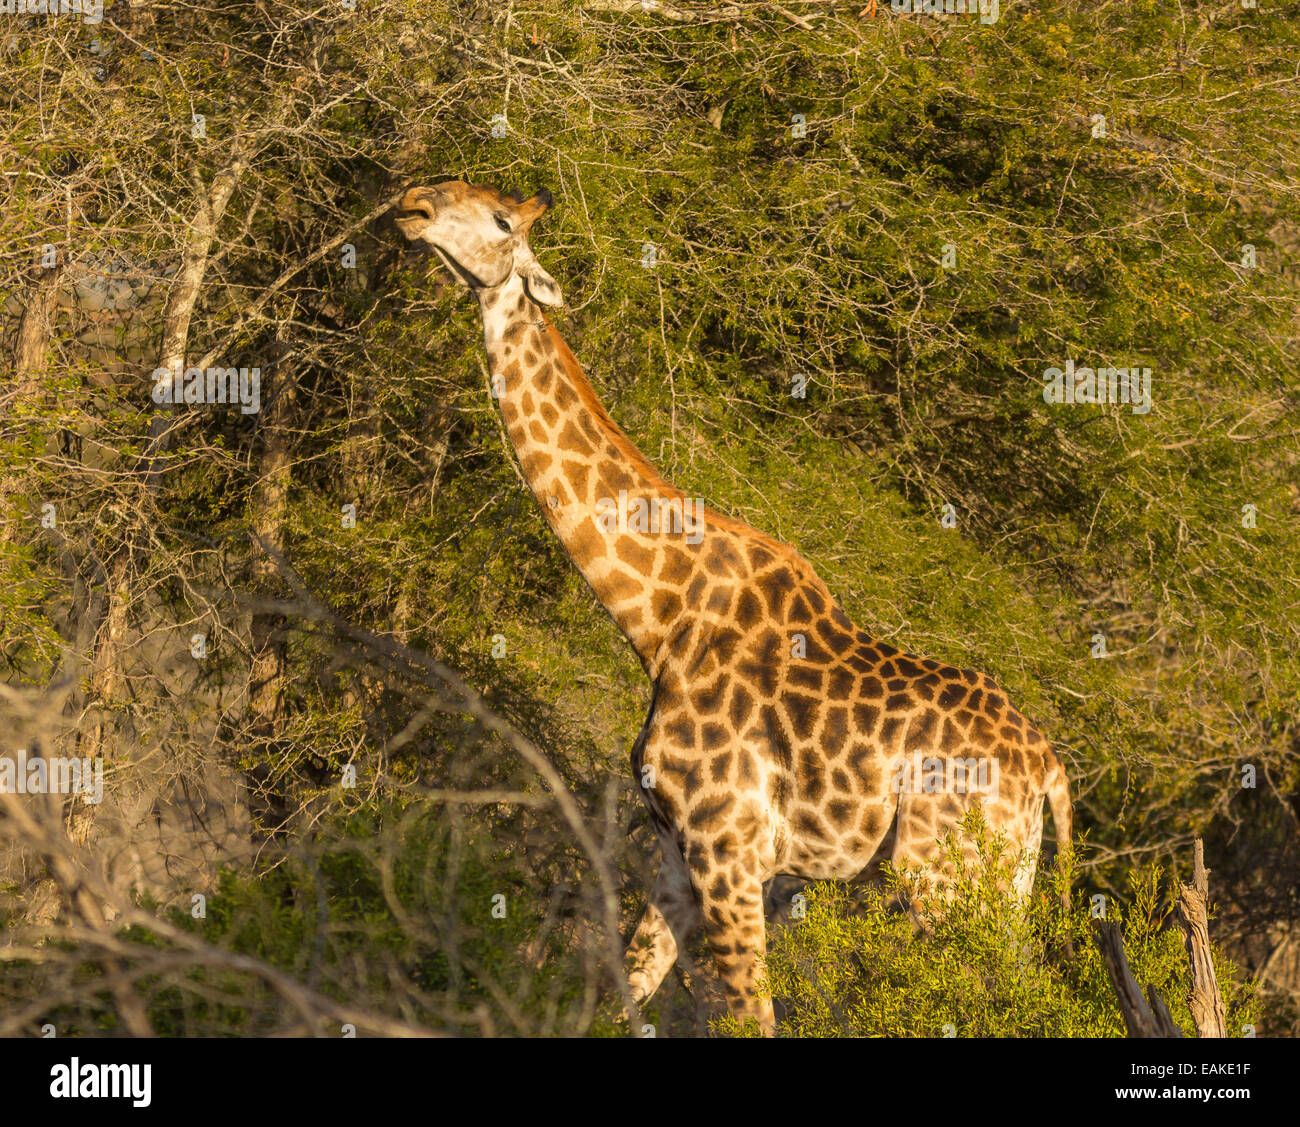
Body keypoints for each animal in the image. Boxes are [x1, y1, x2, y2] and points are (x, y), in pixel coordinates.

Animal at [395, 181, 1073, 1034]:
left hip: (943, 876)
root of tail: (1046, 763)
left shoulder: (730, 844)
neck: (660, 619)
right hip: (1001, 880)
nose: (411, 206)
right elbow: (628, 987)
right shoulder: (680, 849)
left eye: (499, 221)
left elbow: (748, 1015)